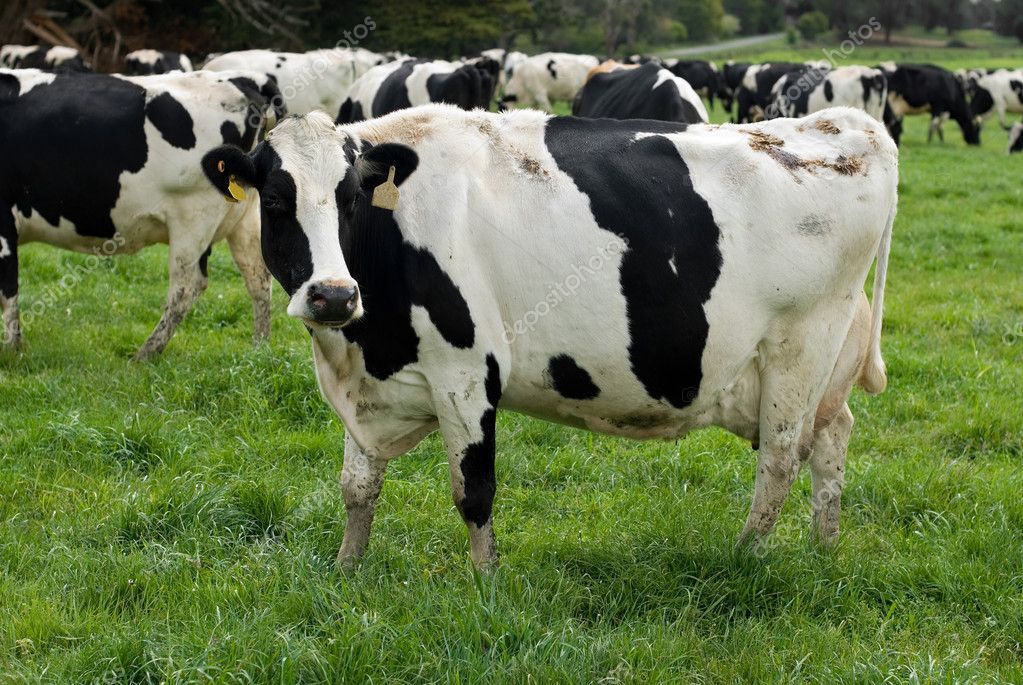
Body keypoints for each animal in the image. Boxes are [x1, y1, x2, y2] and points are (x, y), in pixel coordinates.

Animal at [0, 68, 282, 359]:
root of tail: (242, 78)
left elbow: (8, 289)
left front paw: (12, 350)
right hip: (244, 218)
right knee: (258, 277)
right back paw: (259, 348)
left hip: (194, 217)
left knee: (187, 286)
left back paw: (146, 353)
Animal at [202, 104, 897, 569]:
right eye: (275, 201)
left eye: (350, 198)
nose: (334, 294)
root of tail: (843, 124)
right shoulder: (370, 386)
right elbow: (357, 489)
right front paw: (347, 572)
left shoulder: (466, 373)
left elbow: (473, 491)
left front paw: (486, 586)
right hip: (826, 367)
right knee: (833, 438)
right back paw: (824, 549)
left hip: (799, 349)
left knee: (781, 460)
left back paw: (745, 557)